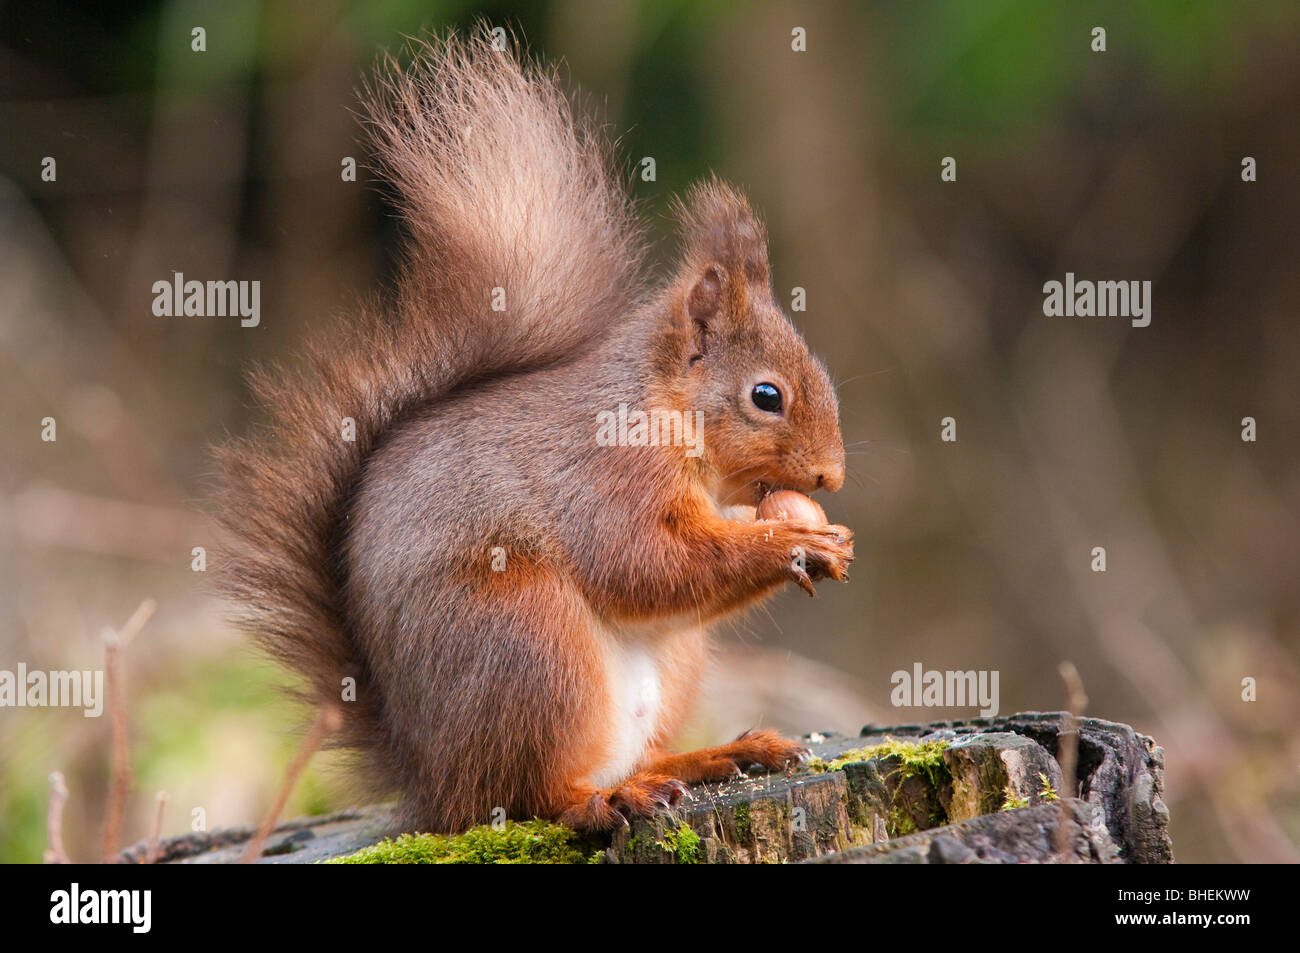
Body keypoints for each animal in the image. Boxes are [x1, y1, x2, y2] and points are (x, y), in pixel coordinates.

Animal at [213, 31, 853, 833]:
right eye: (766, 396)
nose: (832, 475)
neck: (661, 409)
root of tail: (433, 785)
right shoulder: (601, 473)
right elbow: (641, 563)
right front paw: (792, 542)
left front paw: (827, 540)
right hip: (525, 637)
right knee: (532, 794)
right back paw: (609, 798)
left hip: (667, 663)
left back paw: (711, 757)